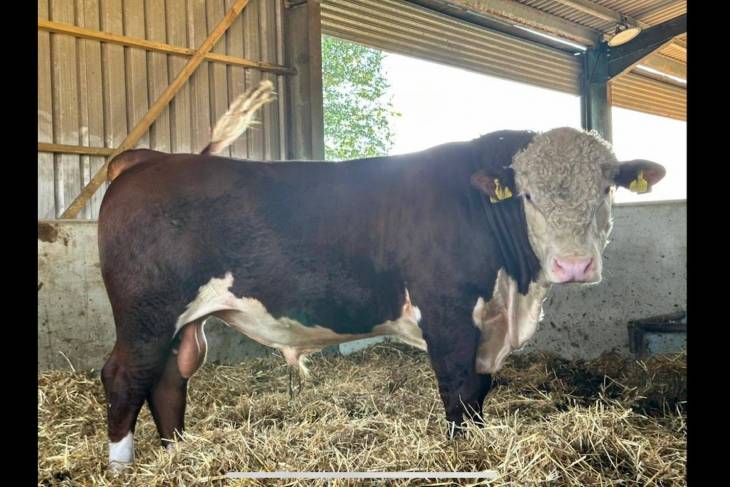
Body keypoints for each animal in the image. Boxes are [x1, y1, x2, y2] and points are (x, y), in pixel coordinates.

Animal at [98, 82, 665, 471]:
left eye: (608, 187)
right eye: (527, 194)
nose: (575, 265)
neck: (515, 295)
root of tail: (150, 159)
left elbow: (479, 392)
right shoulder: (447, 313)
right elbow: (460, 390)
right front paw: (462, 455)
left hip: (179, 320)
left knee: (168, 379)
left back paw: (178, 454)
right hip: (145, 312)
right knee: (124, 376)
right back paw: (123, 467)